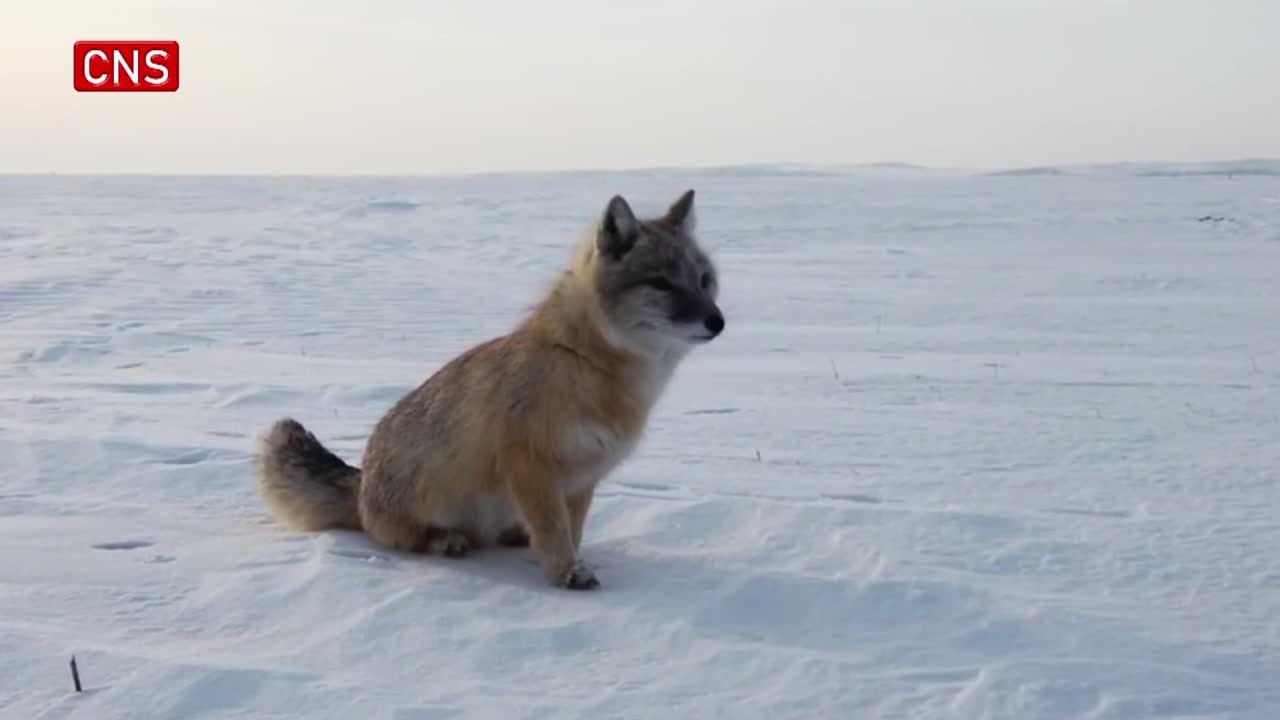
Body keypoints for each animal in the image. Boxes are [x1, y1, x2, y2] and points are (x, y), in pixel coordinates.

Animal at [254, 189, 723, 590]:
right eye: (661, 282)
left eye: (704, 280)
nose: (717, 322)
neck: (585, 362)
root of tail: (363, 482)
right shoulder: (531, 465)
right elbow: (554, 531)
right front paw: (566, 574)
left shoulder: (582, 477)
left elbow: (570, 531)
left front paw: (570, 563)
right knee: (408, 538)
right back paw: (446, 540)